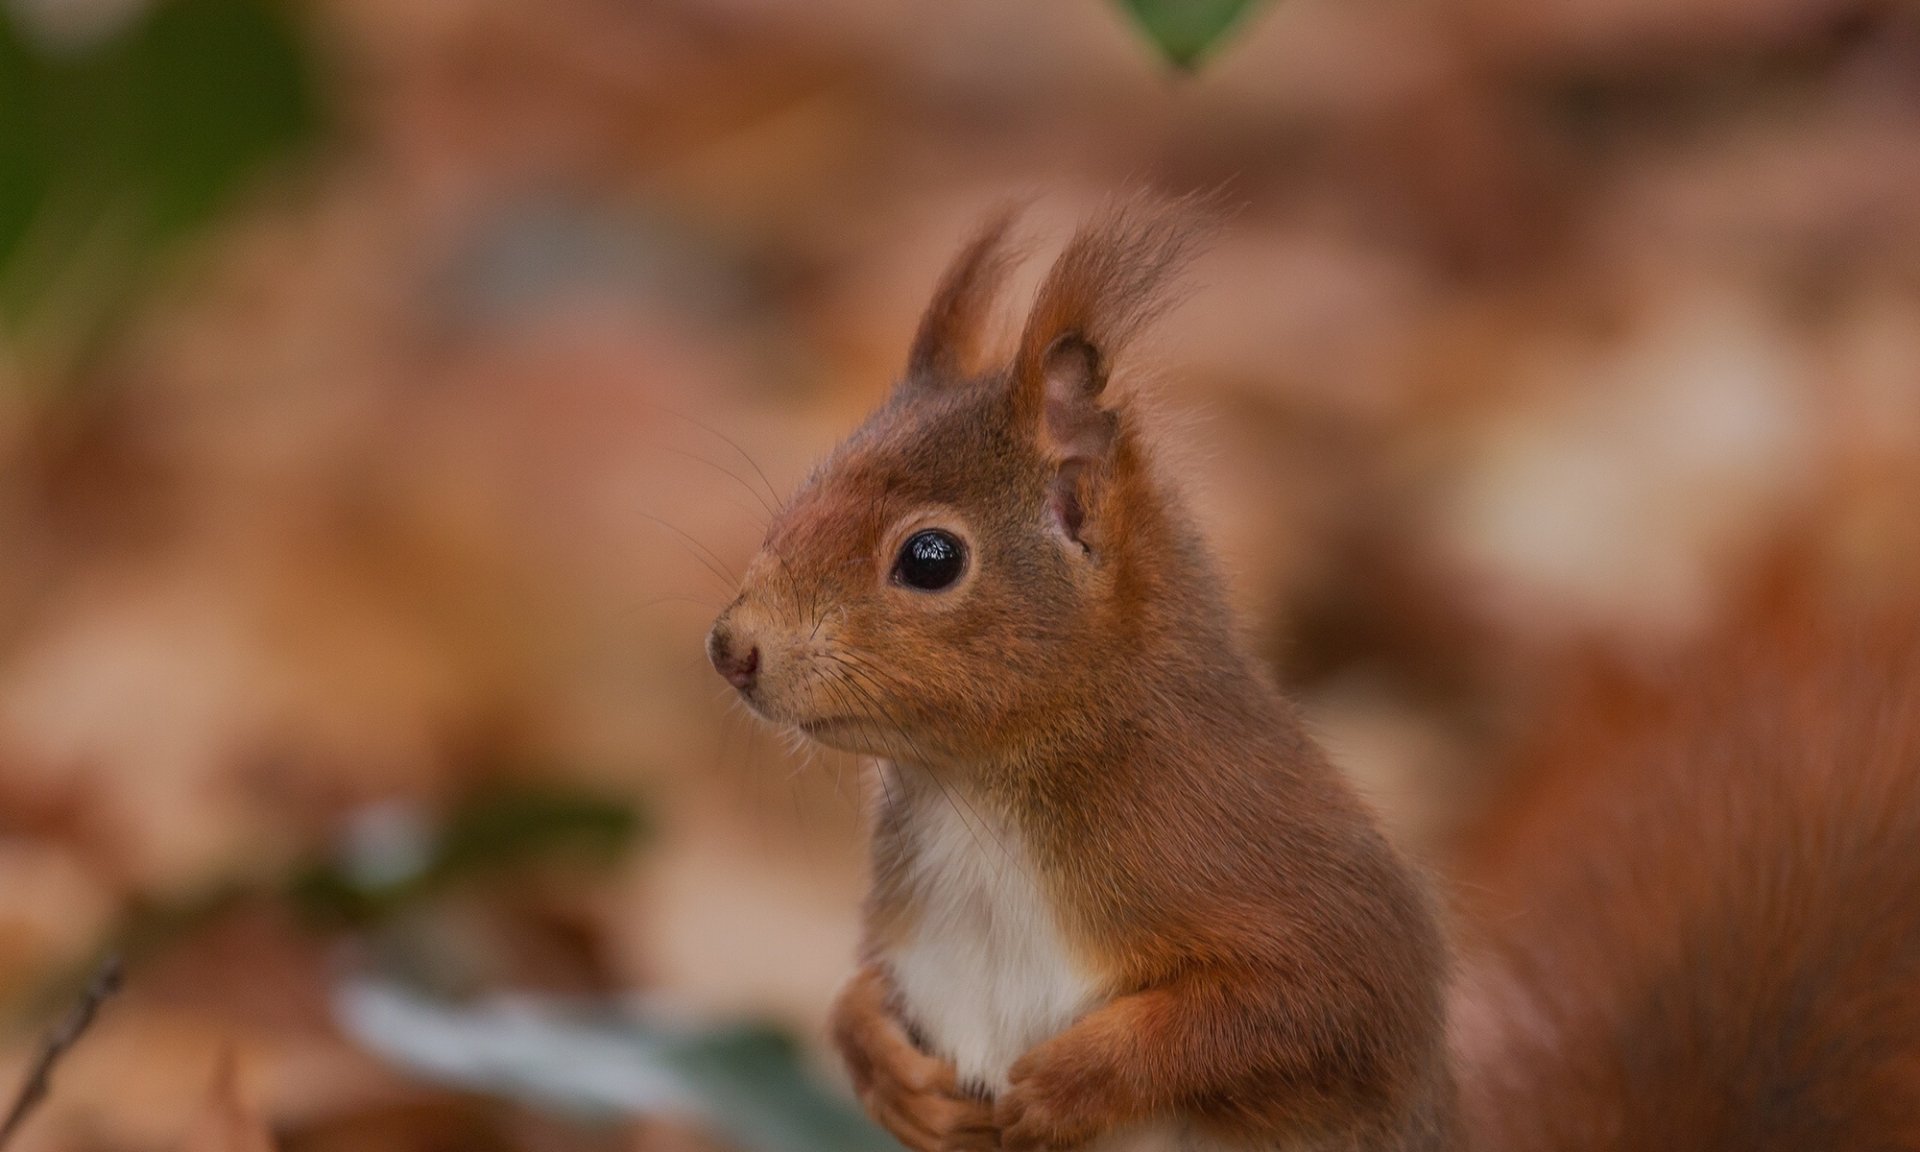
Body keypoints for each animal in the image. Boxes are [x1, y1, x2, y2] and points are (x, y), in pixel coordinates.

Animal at [708, 200, 1920, 1152]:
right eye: (815, 474)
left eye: (930, 558)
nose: (733, 647)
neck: (985, 792)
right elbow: (863, 990)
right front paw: (884, 1065)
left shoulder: (1270, 871)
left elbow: (1312, 1008)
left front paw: (1074, 1081)